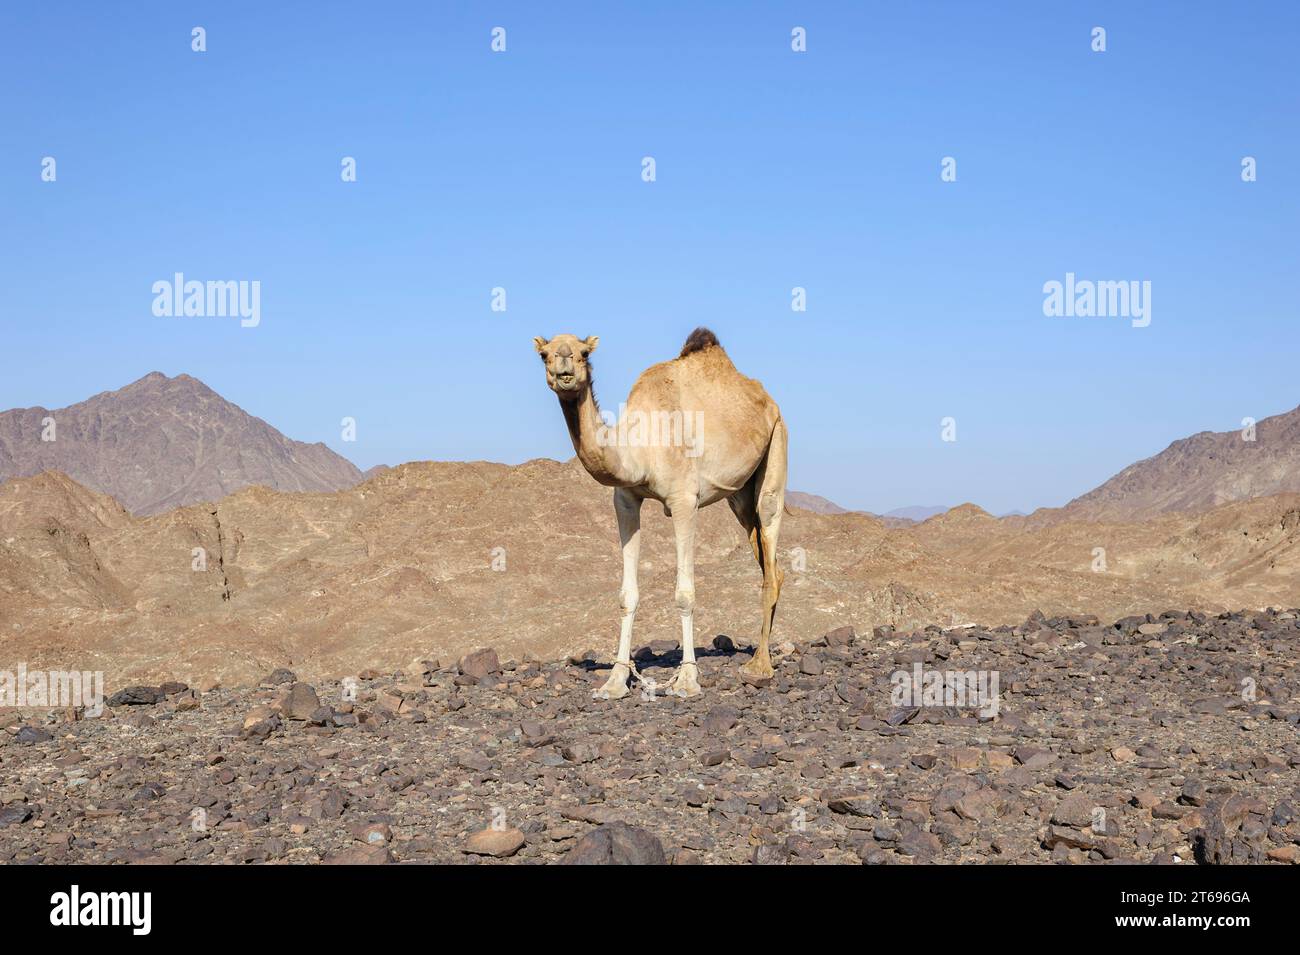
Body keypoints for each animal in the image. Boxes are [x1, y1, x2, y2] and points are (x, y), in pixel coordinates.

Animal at [533, 327, 787, 699]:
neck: (640, 448)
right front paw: (615, 681)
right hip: (739, 495)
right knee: (771, 565)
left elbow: (684, 593)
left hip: (777, 448)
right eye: (544, 354)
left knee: (769, 529)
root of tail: (768, 400)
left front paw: (687, 679)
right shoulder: (625, 499)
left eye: (584, 353)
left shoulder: (684, 500)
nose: (564, 367)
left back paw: (760, 665)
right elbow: (627, 595)